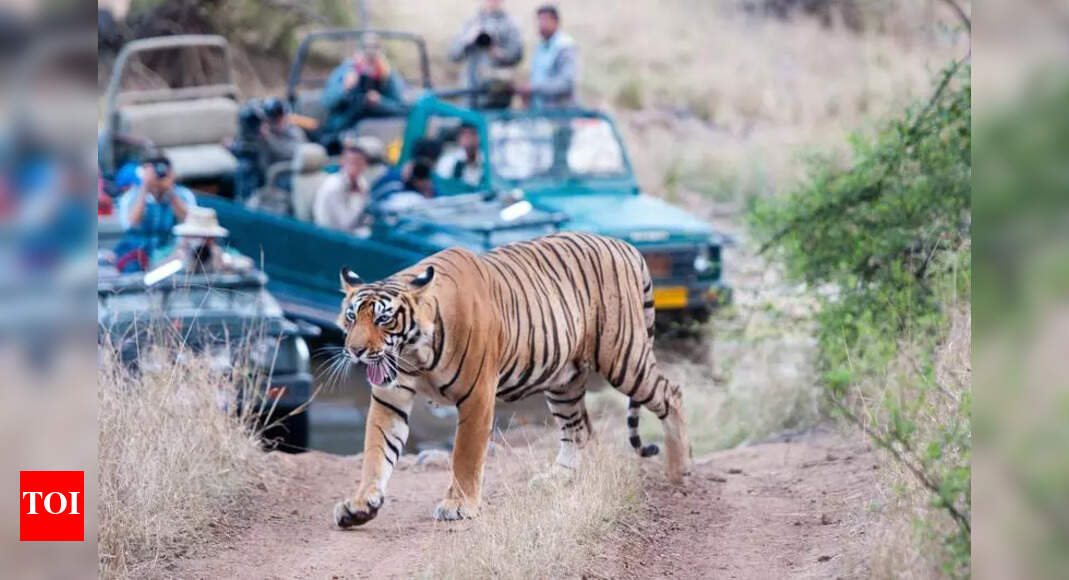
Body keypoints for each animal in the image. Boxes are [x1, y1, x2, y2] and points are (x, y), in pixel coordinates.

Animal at [332, 232, 691, 528]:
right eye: (351, 317)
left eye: (383, 319)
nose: (355, 351)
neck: (415, 354)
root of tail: (625, 245)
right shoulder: (390, 398)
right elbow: (377, 451)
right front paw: (360, 505)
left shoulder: (477, 395)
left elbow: (465, 454)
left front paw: (459, 505)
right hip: (564, 379)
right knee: (578, 429)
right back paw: (556, 479)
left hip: (624, 357)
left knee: (671, 394)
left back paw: (680, 472)